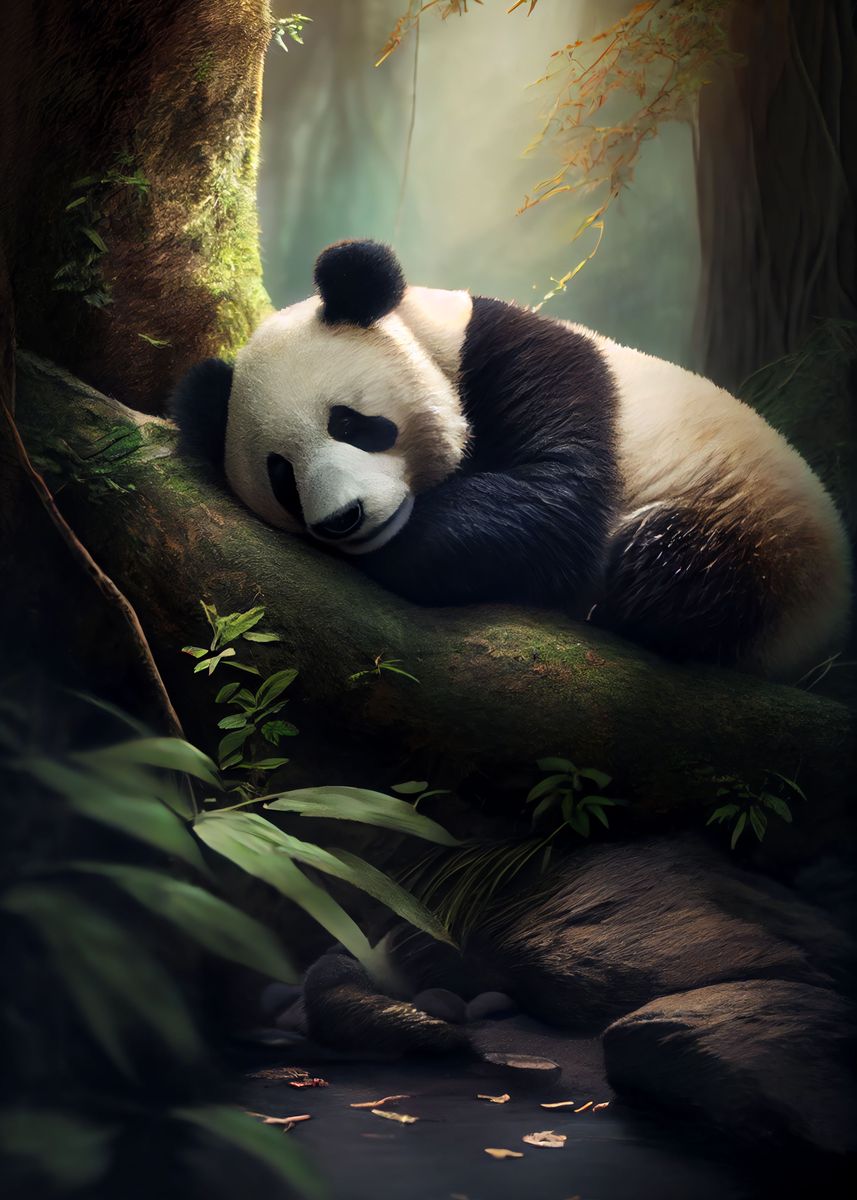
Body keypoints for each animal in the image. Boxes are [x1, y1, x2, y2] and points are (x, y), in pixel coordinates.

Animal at [172, 239, 850, 678]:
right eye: (282, 477)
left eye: (350, 424)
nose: (343, 519)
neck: (433, 335)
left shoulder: (535, 362)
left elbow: (558, 496)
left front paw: (411, 550)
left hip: (760, 536)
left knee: (673, 565)